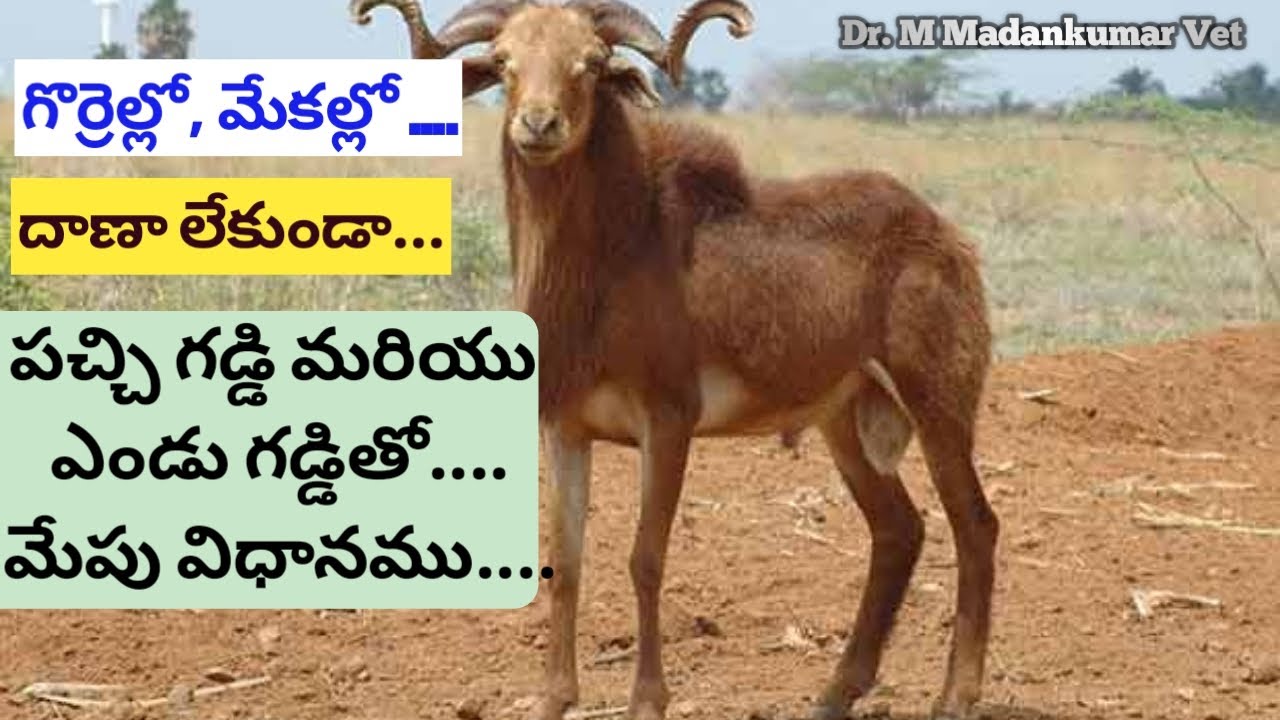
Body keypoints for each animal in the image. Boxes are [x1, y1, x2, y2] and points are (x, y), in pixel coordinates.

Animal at [351, 2, 998, 719]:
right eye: (503, 60)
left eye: (591, 63)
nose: (540, 125)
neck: (610, 266)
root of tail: (945, 237)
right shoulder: (564, 430)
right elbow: (566, 563)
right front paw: (554, 699)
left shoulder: (667, 422)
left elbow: (646, 558)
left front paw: (646, 700)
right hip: (844, 421)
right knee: (898, 531)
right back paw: (836, 692)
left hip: (938, 403)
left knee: (975, 525)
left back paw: (956, 695)